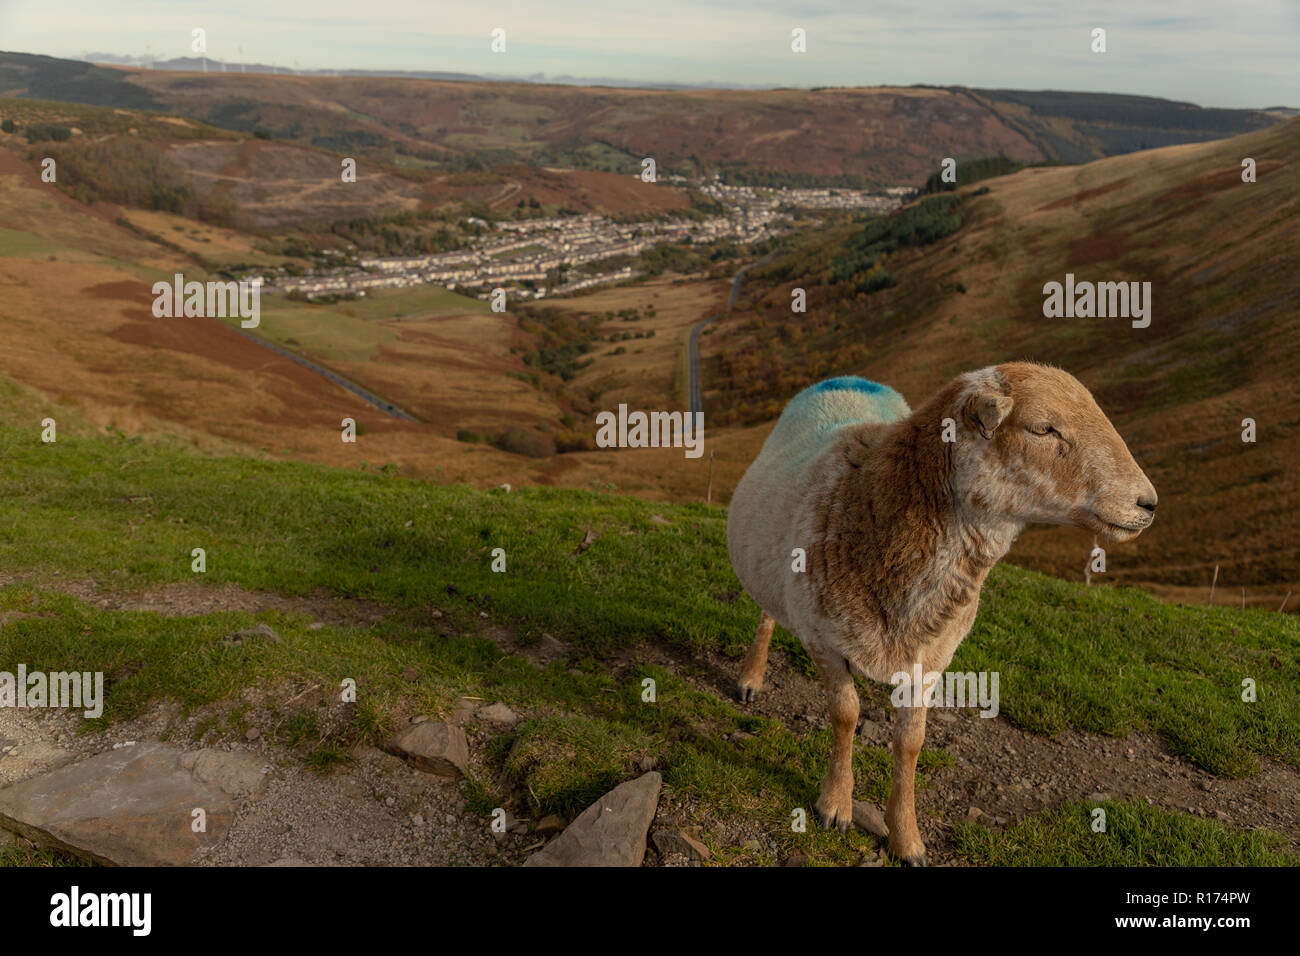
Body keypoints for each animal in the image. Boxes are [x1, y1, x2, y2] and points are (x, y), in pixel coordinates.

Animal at [726, 363, 1157, 865]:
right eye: (1043, 428)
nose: (1149, 504)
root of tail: (851, 378)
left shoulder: (931, 660)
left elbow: (910, 743)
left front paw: (906, 838)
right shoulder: (822, 639)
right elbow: (845, 715)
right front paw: (835, 805)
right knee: (766, 614)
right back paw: (751, 678)